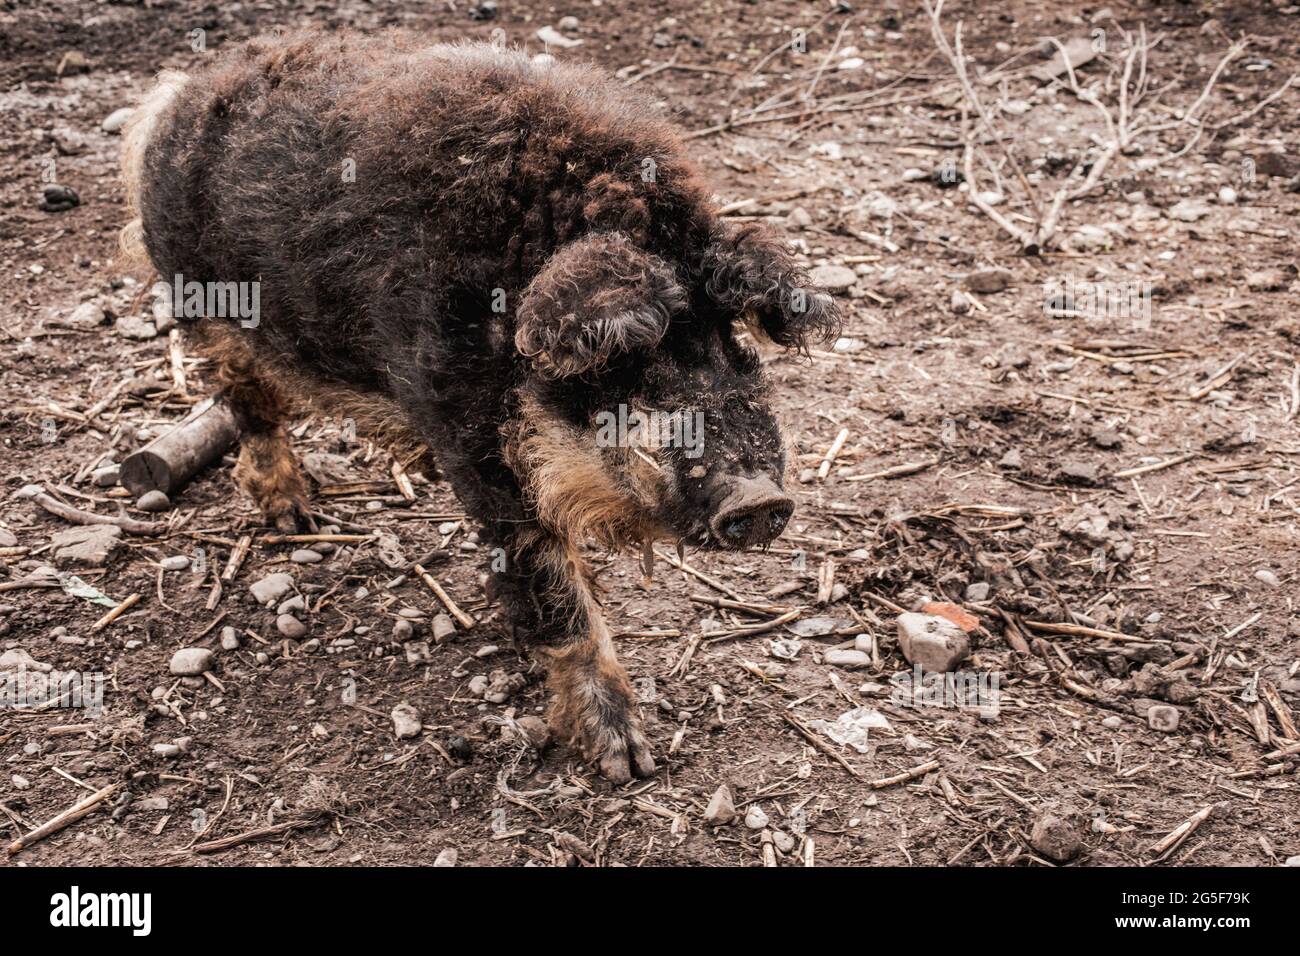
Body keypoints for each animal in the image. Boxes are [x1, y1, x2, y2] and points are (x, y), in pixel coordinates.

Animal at [120, 33, 840, 782]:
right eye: (628, 353)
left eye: (731, 338)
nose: (758, 499)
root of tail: (174, 96)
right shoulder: (471, 443)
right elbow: (552, 592)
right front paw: (625, 764)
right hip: (208, 308)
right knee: (247, 399)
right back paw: (295, 516)